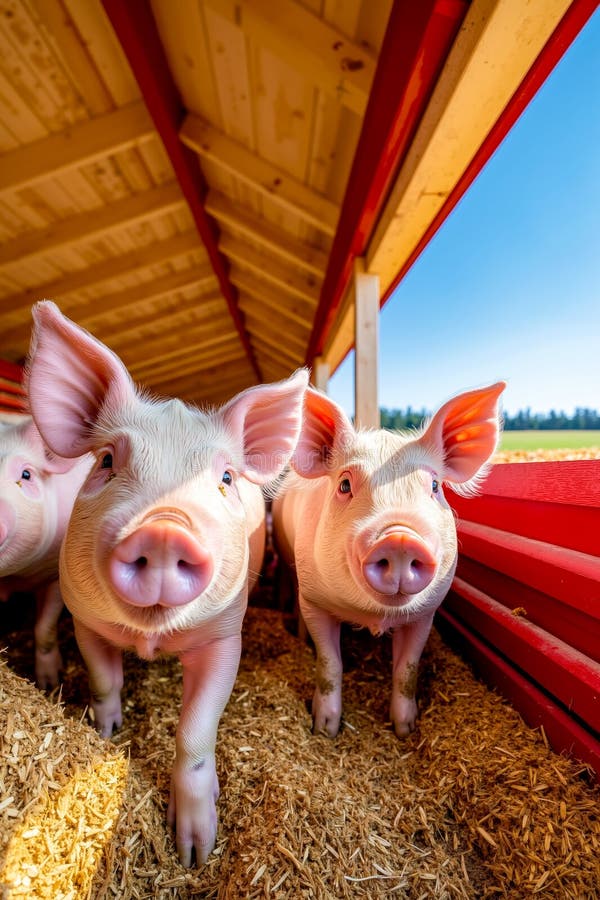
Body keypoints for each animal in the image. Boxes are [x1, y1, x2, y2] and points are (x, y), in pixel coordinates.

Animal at [25, 300, 309, 866]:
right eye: (107, 460)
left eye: (225, 478)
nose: (162, 529)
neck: (152, 639)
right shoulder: (84, 621)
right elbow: (105, 681)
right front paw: (107, 732)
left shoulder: (225, 636)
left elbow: (196, 732)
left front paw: (195, 852)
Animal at [272, 381, 505, 740]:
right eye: (344, 484)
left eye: (434, 486)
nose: (399, 539)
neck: (374, 616)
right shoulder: (314, 600)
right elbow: (330, 663)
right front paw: (325, 729)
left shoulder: (425, 614)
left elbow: (407, 670)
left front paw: (405, 729)